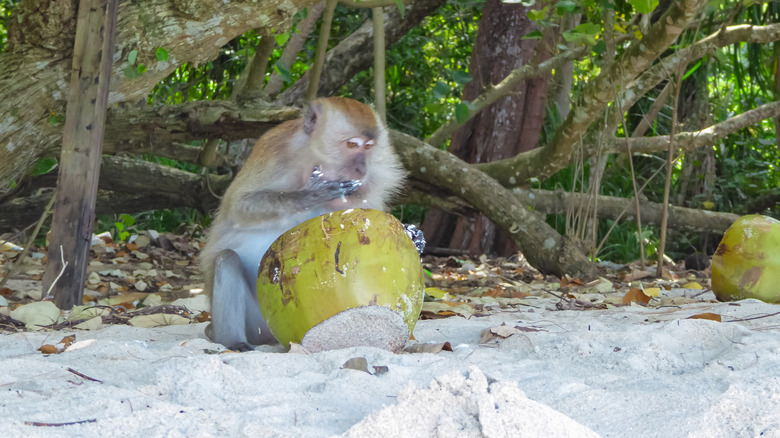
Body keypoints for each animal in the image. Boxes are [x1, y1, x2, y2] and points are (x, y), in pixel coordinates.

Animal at [199, 97, 416, 351]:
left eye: (369, 146)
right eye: (352, 144)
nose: (362, 169)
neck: (310, 160)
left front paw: (413, 236)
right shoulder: (276, 153)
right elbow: (238, 205)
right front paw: (310, 195)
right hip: (258, 322)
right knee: (227, 259)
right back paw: (234, 341)